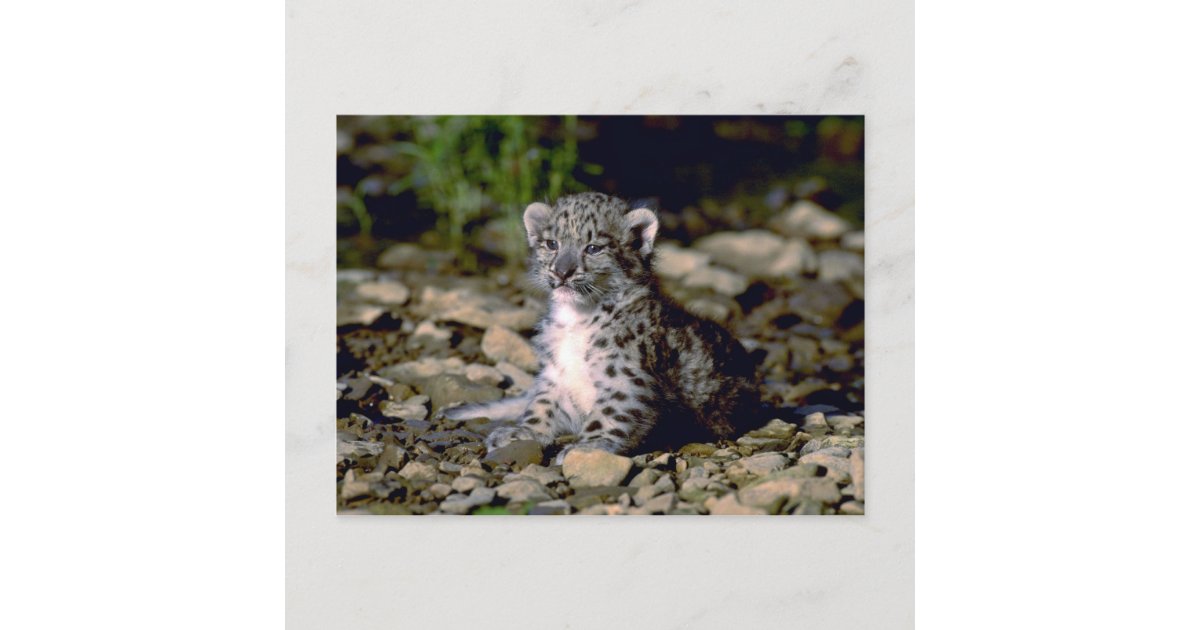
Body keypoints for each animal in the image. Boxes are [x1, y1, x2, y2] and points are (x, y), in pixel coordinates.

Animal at [443, 192, 760, 463]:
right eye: (552, 244)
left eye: (593, 248)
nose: (562, 271)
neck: (576, 318)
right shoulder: (556, 376)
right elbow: (541, 405)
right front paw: (523, 432)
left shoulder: (624, 377)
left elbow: (610, 414)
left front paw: (586, 448)